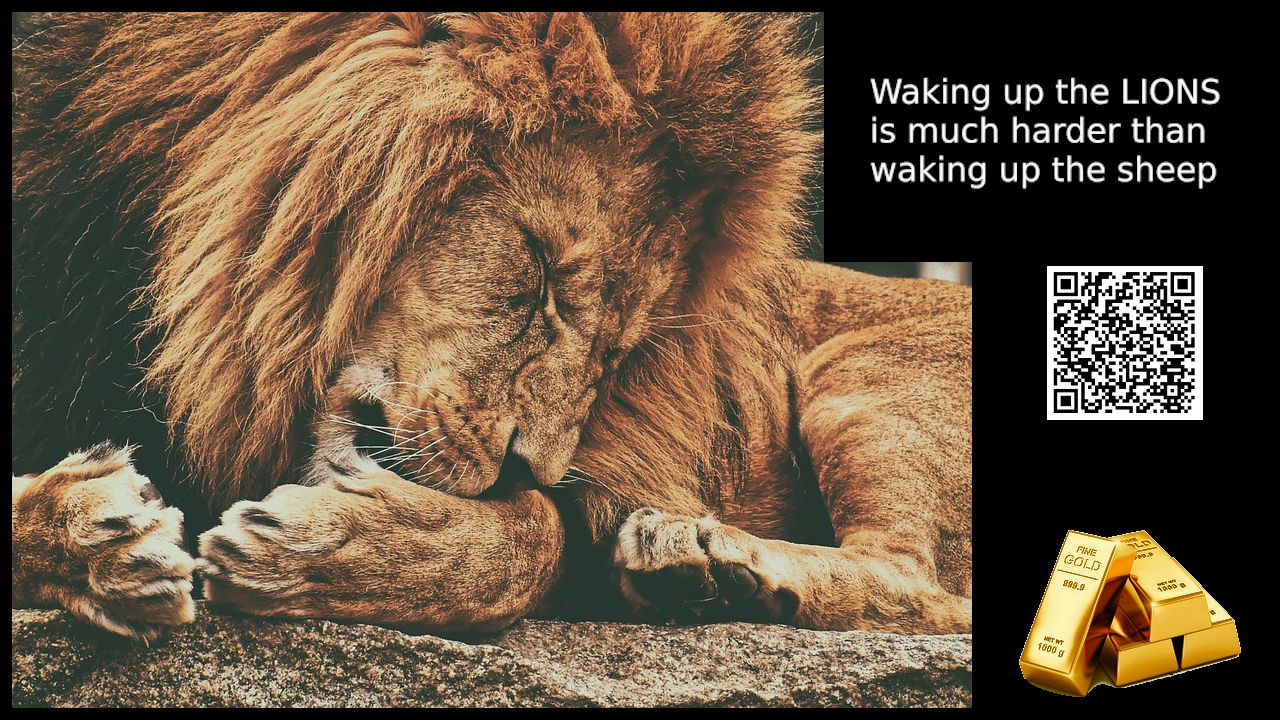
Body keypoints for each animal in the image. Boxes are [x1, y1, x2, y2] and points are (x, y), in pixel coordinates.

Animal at [12, 12, 970, 642]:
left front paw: (315, 549)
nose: (525, 464)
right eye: (540, 274)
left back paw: (714, 564)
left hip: (866, 382)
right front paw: (97, 535)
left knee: (926, 590)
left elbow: (536, 537)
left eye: (619, 345)